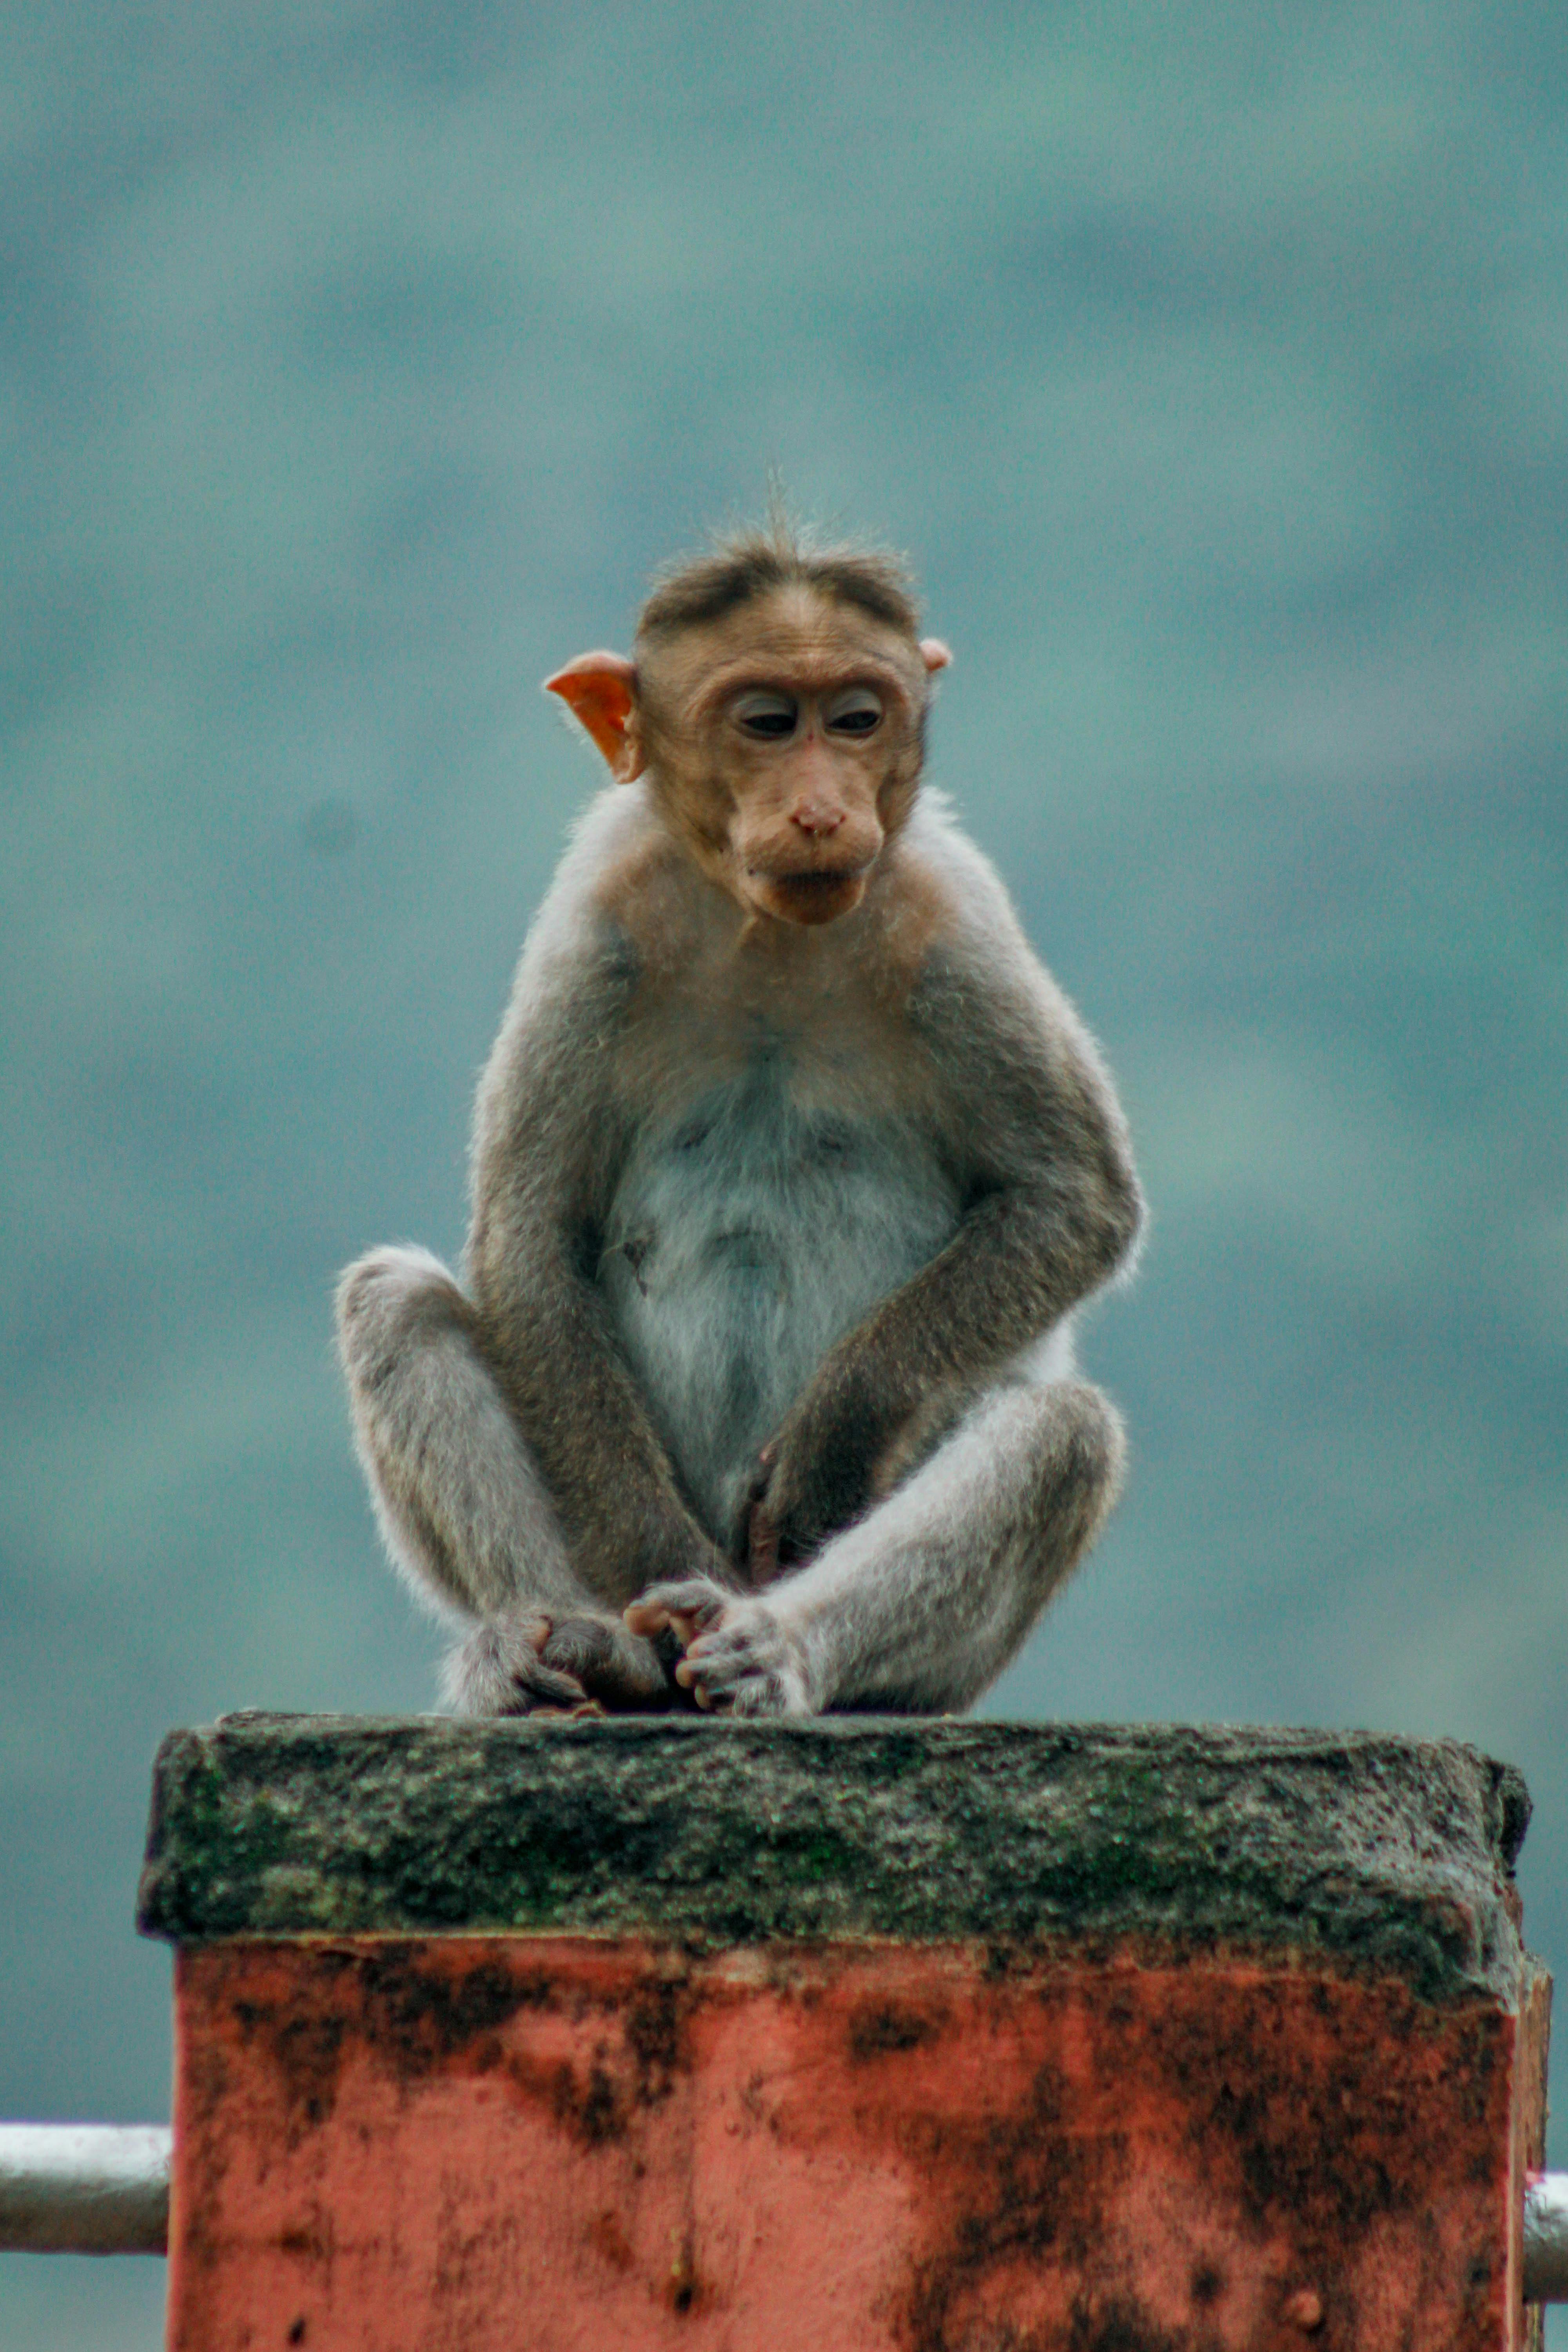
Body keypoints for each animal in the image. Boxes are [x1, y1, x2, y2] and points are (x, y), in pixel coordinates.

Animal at [335, 518, 1143, 1719]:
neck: (770, 931)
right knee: (395, 1303)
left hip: (938, 1666)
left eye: (856, 720)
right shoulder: (590, 931)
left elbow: (1075, 1200)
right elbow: (530, 1237)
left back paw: (771, 1644)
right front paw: (646, 1563)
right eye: (767, 722)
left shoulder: (956, 925)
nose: (821, 808)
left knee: (1061, 1434)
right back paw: (579, 1649)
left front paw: (834, 1440)